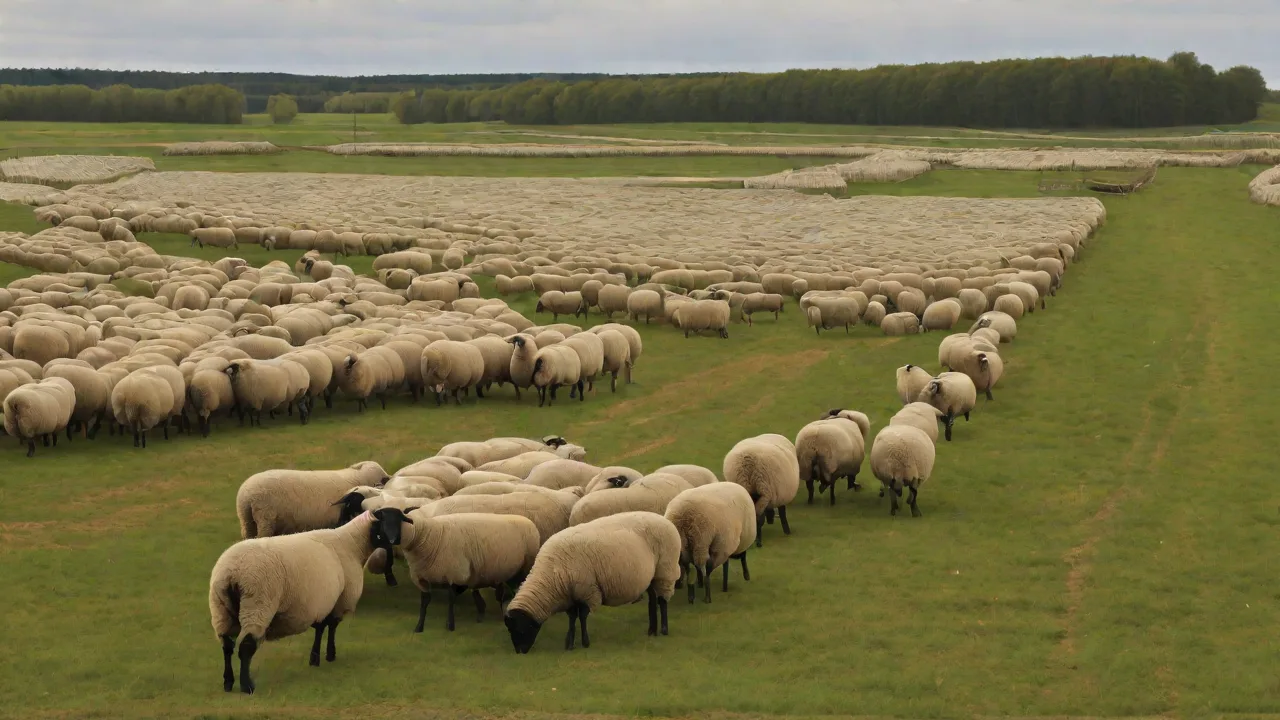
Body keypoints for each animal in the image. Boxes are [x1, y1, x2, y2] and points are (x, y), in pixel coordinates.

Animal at [208, 507, 411, 694]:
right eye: (384, 521)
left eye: (399, 520)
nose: (394, 541)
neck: (351, 544)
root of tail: (232, 571)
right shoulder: (340, 600)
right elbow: (331, 626)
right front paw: (330, 655)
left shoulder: (323, 601)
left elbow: (321, 628)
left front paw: (315, 658)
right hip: (257, 604)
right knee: (246, 646)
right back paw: (247, 685)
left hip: (221, 610)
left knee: (227, 645)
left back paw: (228, 682)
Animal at [374, 512, 540, 632]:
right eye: (383, 521)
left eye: (398, 519)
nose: (391, 539)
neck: (425, 535)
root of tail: (528, 521)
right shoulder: (422, 578)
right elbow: (424, 603)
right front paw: (419, 627)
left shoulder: (454, 573)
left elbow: (451, 599)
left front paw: (450, 625)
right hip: (504, 570)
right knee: (501, 592)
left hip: (524, 566)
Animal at [504, 511, 681, 652]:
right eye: (510, 630)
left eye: (520, 629)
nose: (520, 651)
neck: (551, 576)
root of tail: (665, 520)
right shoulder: (571, 593)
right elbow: (572, 617)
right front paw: (569, 643)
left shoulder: (587, 589)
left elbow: (582, 616)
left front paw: (585, 642)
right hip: (652, 576)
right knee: (652, 599)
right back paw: (652, 630)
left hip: (665, 570)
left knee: (662, 600)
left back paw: (664, 629)